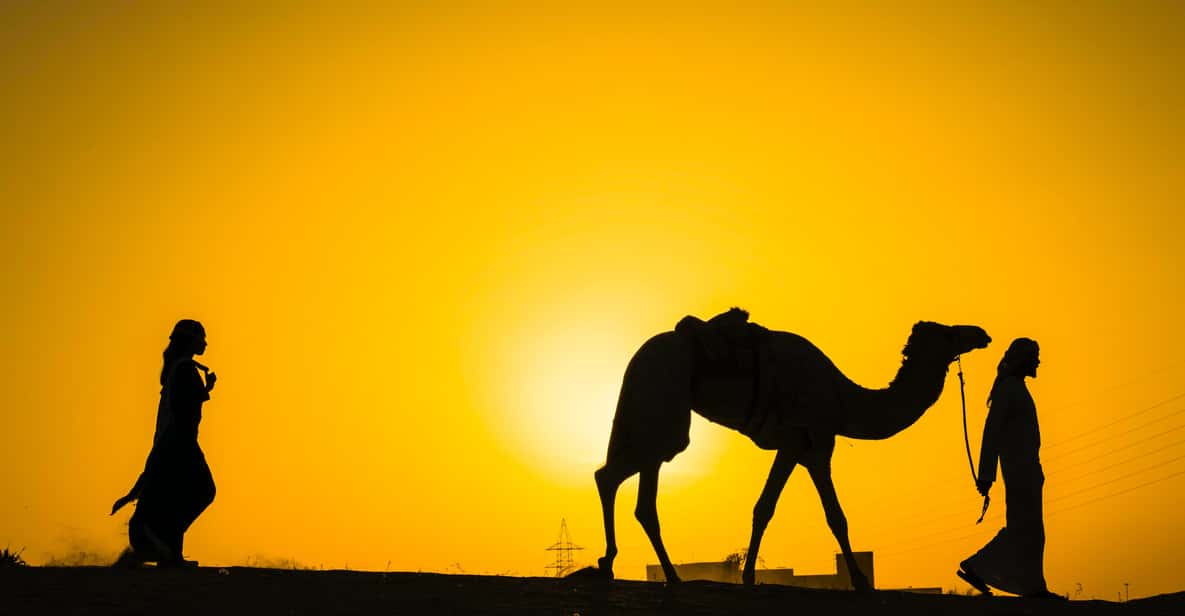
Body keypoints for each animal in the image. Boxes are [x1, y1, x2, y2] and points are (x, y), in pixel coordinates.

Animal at [591, 309, 991, 589]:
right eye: (948, 333)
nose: (980, 333)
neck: (843, 398)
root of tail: (637, 356)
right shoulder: (812, 443)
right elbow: (832, 515)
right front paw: (860, 581)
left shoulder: (798, 449)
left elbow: (767, 508)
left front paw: (748, 576)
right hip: (665, 409)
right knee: (639, 490)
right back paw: (664, 575)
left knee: (610, 476)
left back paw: (613, 565)